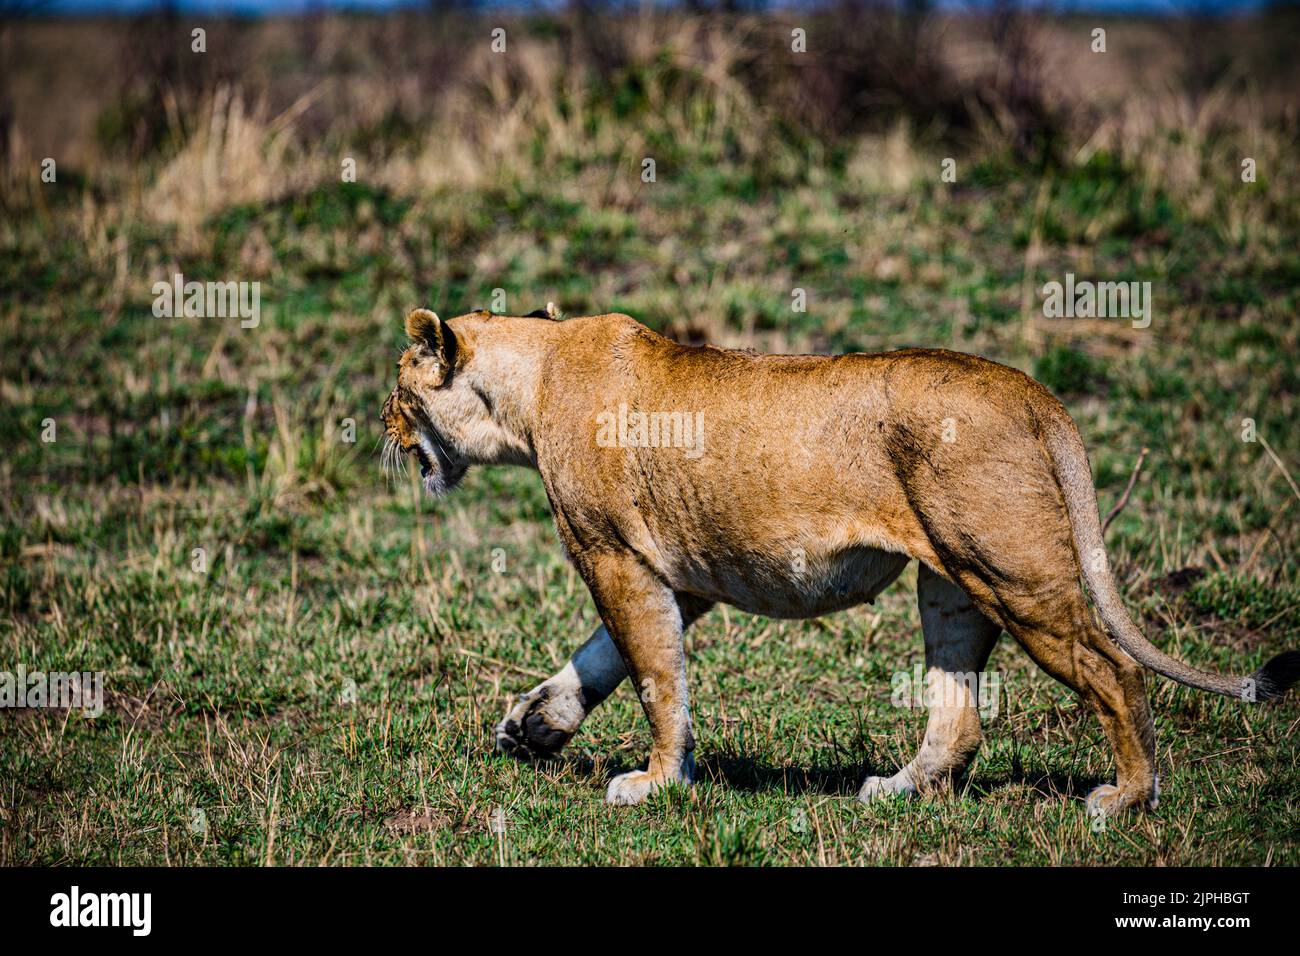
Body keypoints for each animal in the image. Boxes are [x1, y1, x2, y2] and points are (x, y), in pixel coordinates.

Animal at [381, 306, 1299, 814]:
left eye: (397, 386)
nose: (380, 425)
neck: (526, 391)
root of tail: (1034, 392)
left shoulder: (617, 557)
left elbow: (654, 677)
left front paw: (655, 782)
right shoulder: (680, 571)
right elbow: (603, 658)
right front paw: (535, 724)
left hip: (1014, 575)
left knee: (1118, 671)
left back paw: (1127, 798)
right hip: (951, 581)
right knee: (960, 713)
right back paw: (899, 790)